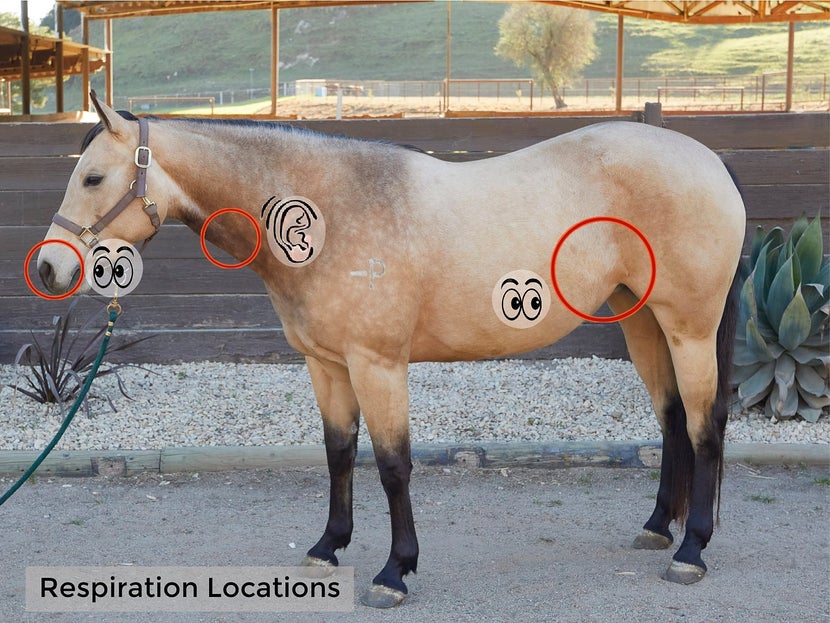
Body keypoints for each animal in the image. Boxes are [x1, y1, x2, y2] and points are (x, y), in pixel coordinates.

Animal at [37, 93, 745, 608]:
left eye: (93, 177)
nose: (50, 268)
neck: (329, 215)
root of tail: (709, 163)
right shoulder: (326, 365)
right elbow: (338, 454)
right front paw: (328, 546)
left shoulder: (377, 365)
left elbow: (393, 465)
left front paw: (394, 572)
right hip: (643, 323)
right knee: (673, 420)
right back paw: (658, 528)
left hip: (687, 328)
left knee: (704, 426)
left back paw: (691, 552)